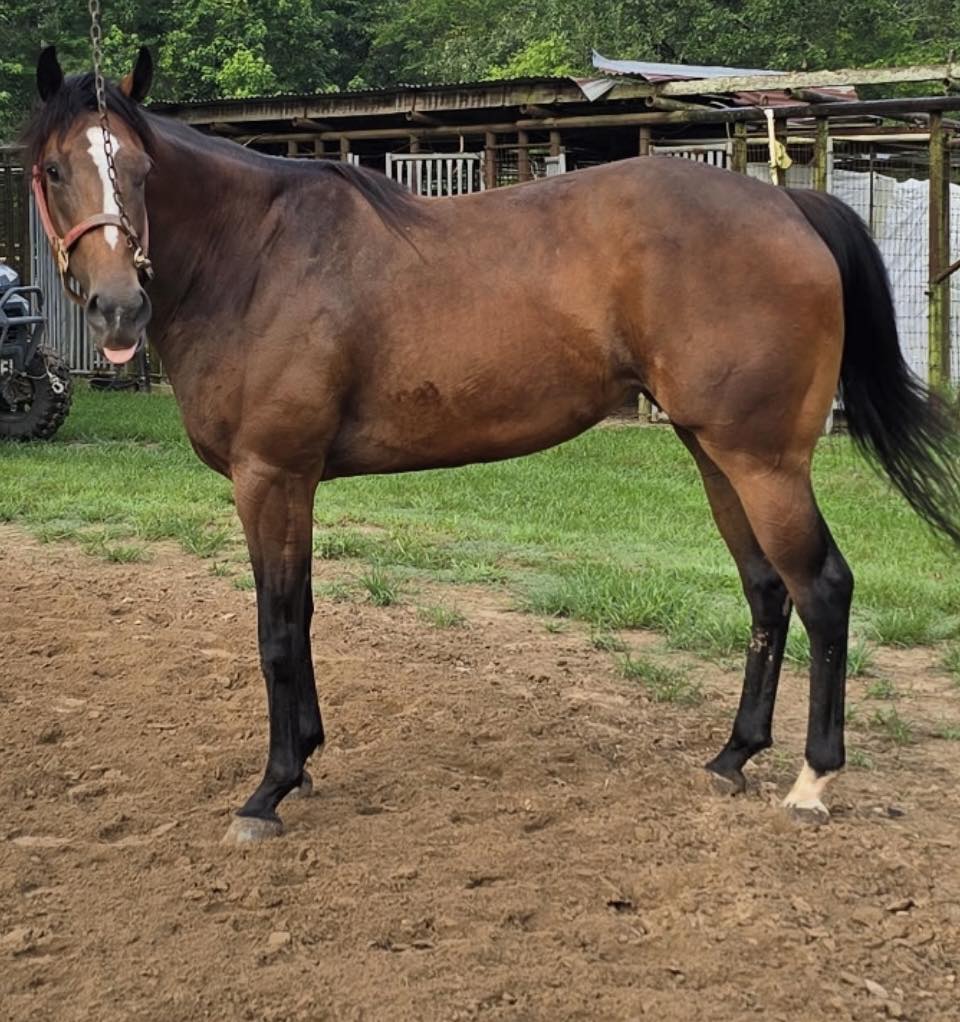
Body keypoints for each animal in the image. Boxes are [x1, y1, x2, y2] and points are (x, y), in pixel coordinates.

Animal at [24, 46, 960, 845]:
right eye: (55, 169)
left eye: (141, 171)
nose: (117, 308)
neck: (256, 255)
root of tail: (786, 203)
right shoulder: (293, 484)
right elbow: (305, 612)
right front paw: (309, 759)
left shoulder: (271, 477)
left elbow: (277, 628)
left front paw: (271, 789)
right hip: (715, 451)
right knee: (767, 592)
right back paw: (733, 756)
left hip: (763, 460)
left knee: (823, 590)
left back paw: (813, 781)